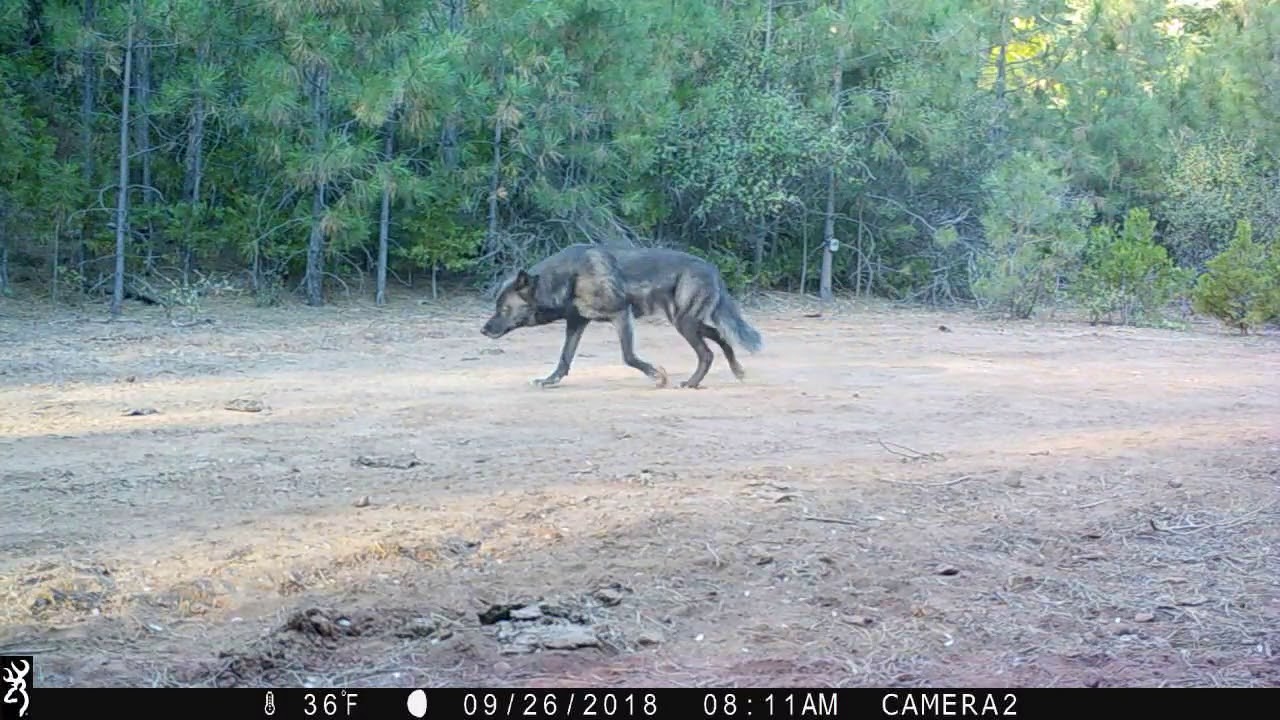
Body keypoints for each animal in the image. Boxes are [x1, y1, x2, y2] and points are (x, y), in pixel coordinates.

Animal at [481, 243, 763, 389]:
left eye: (503, 309)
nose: (483, 330)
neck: (571, 277)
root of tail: (712, 269)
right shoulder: (576, 323)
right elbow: (564, 358)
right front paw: (550, 380)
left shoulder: (620, 315)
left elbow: (628, 356)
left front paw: (657, 376)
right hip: (687, 323)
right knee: (722, 338)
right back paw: (737, 370)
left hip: (686, 324)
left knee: (707, 353)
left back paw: (691, 383)